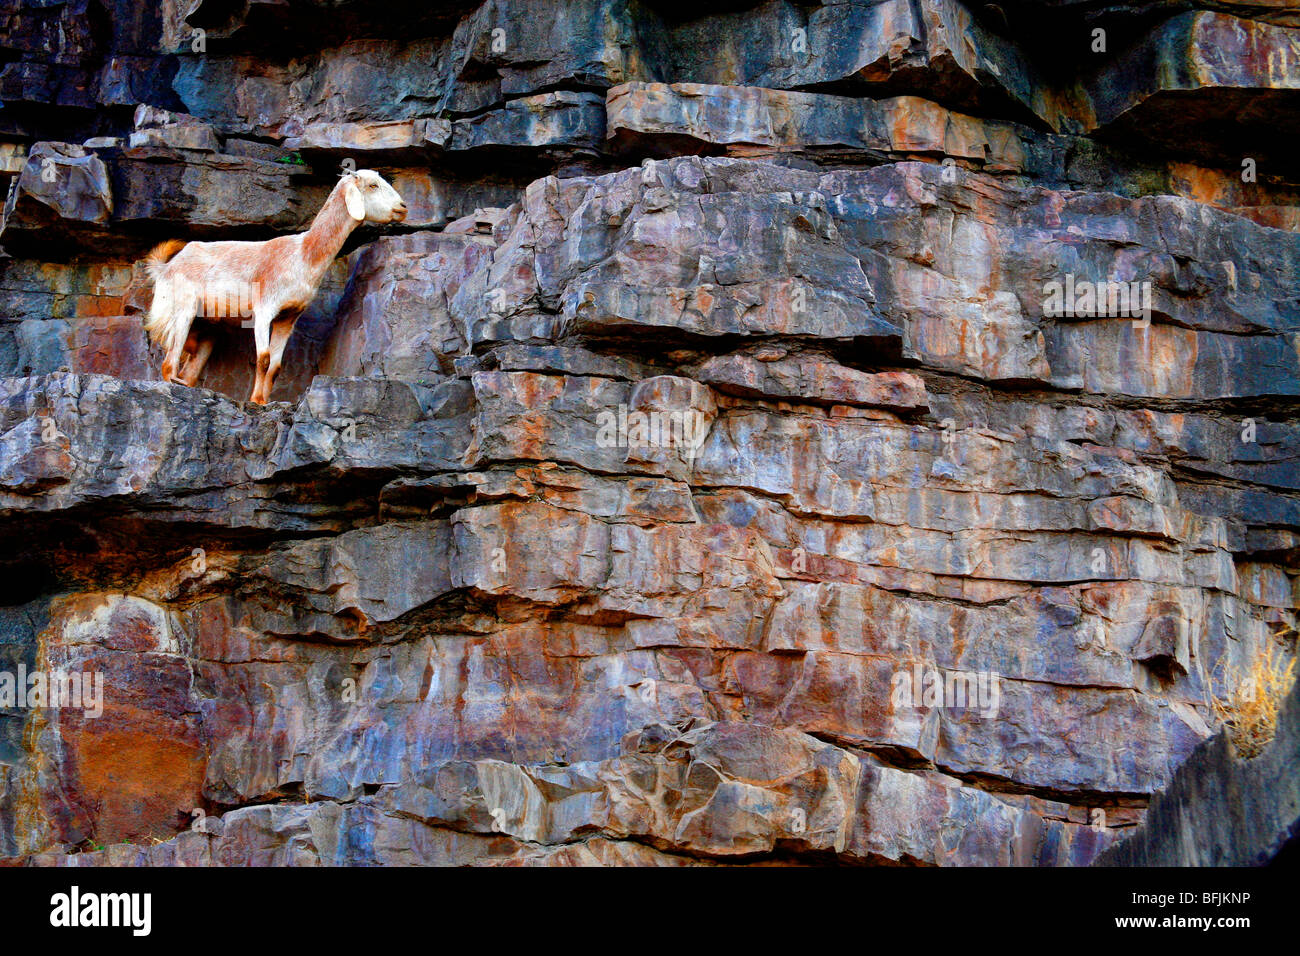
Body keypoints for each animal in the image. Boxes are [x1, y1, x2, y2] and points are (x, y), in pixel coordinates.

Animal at [141, 169, 407, 405]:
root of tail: (165, 267)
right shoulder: (264, 309)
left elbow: (276, 366)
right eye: (373, 185)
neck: (303, 253)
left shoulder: (288, 317)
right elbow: (264, 359)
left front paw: (263, 400)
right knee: (168, 362)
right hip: (182, 310)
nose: (403, 207)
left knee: (189, 367)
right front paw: (255, 400)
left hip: (207, 327)